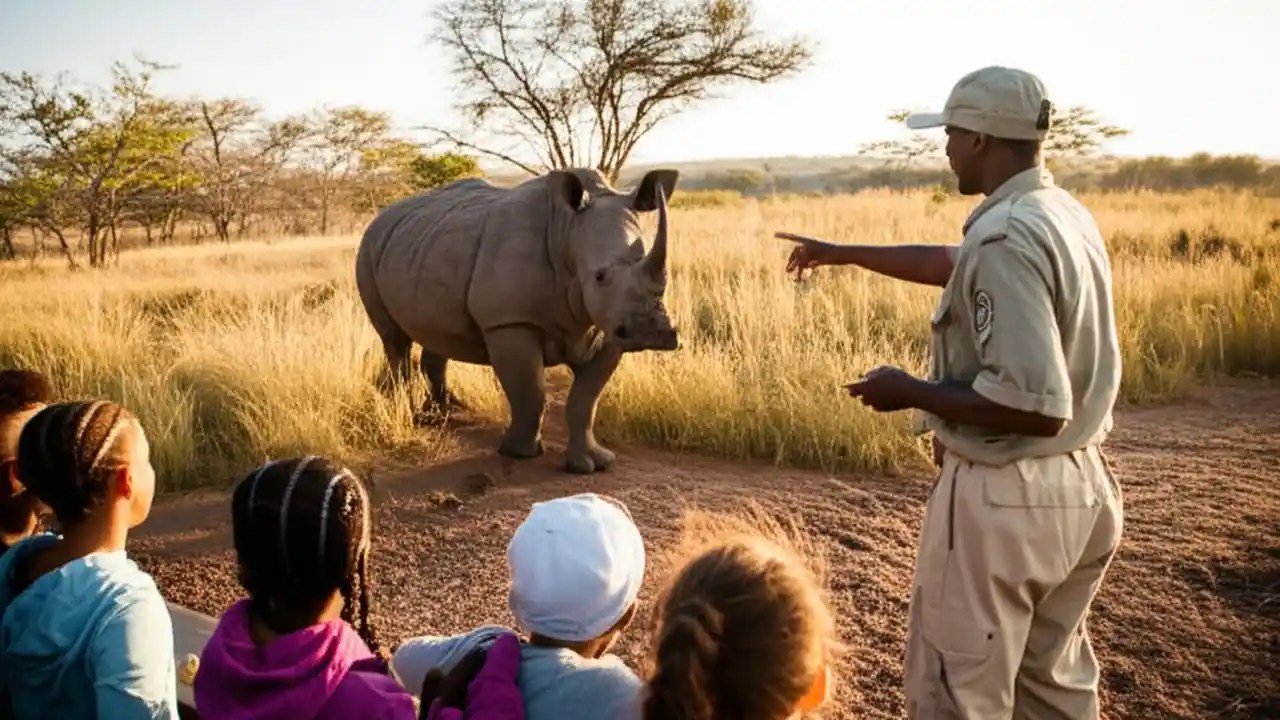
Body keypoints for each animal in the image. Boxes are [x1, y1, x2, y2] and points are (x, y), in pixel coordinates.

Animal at [354, 167, 680, 474]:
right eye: (599, 277)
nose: (652, 334)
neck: (568, 232)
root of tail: (381, 216)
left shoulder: (608, 325)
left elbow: (586, 399)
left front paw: (592, 465)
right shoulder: (509, 322)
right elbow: (530, 392)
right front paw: (518, 452)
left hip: (423, 248)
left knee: (436, 333)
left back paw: (445, 410)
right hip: (367, 250)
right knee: (394, 339)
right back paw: (409, 410)